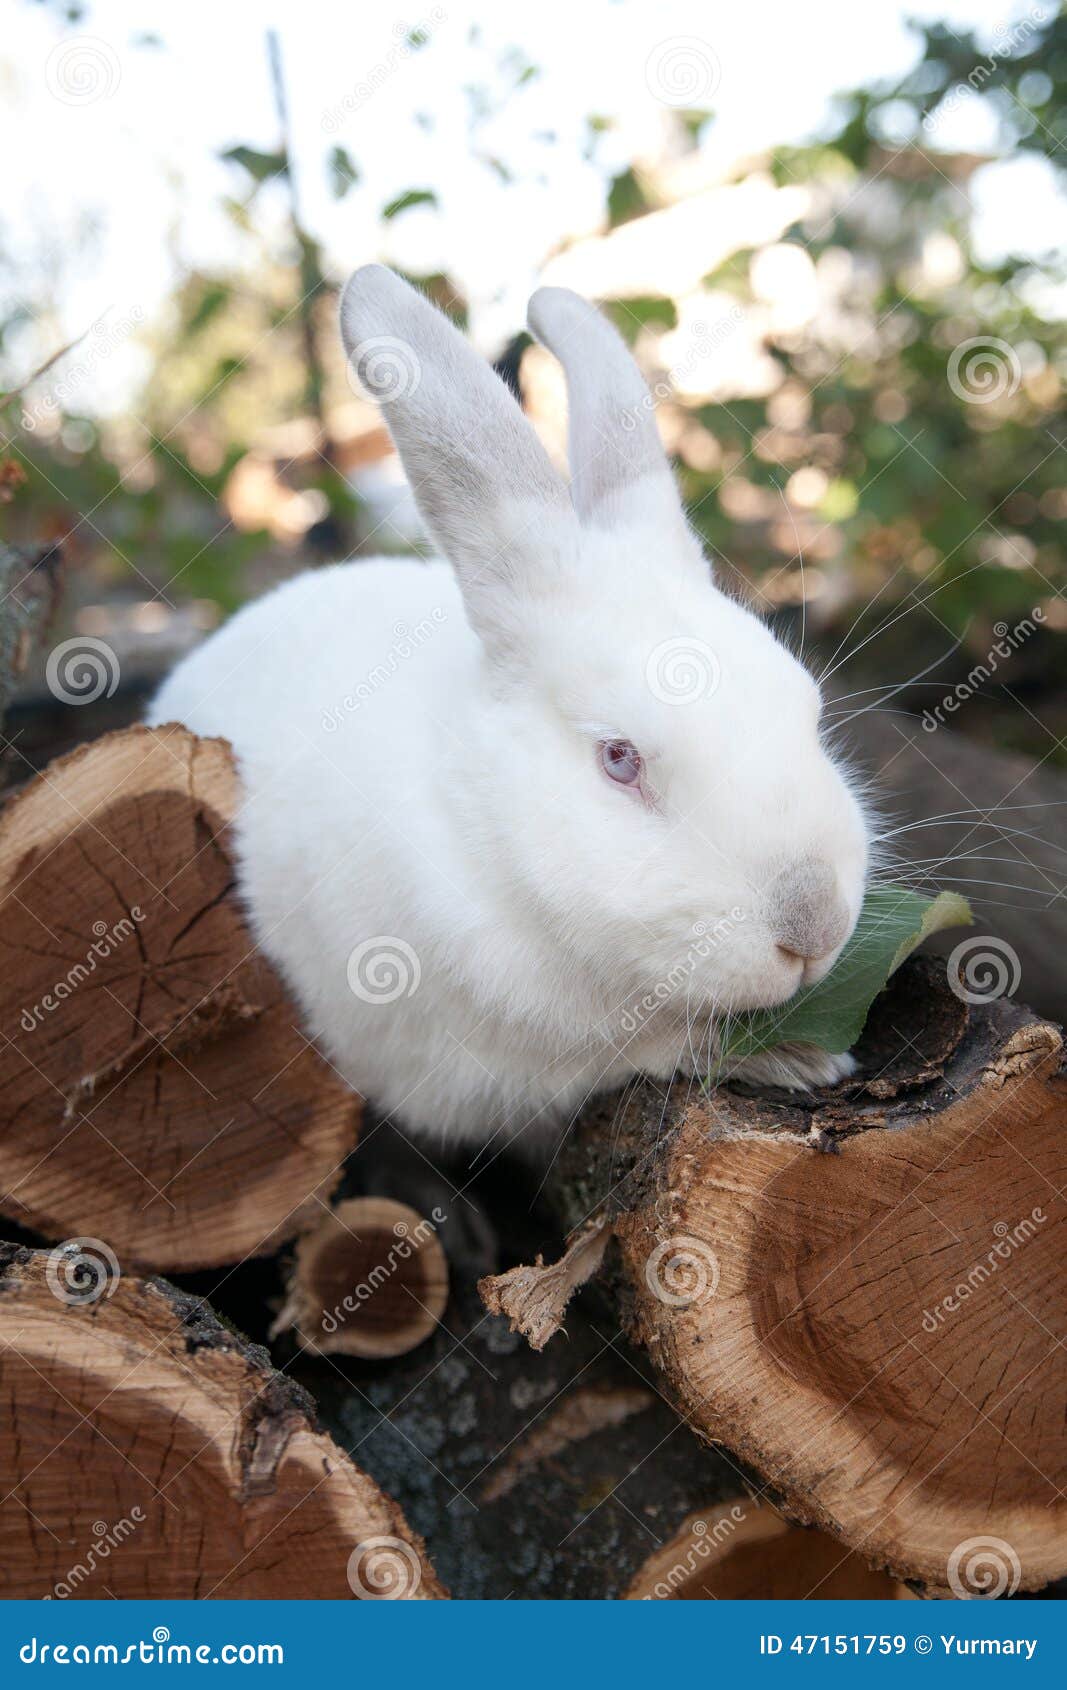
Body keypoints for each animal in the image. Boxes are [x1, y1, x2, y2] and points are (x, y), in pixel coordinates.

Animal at [148, 264, 870, 1151]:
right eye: (618, 759)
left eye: (806, 710)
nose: (813, 926)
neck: (481, 832)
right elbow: (650, 1049)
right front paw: (798, 1059)